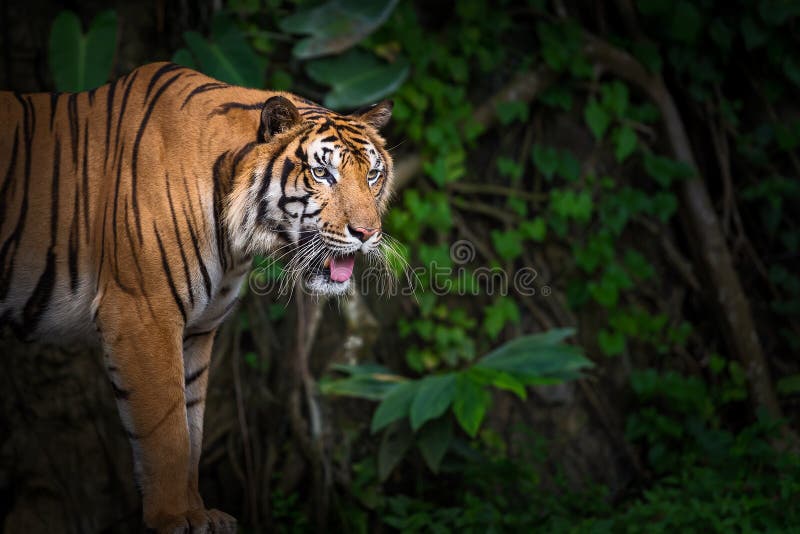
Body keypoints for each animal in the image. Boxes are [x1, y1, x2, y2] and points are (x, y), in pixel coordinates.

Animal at [0, 61, 395, 532]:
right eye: (322, 174)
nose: (367, 233)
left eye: (372, 175)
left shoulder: (197, 330)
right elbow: (165, 432)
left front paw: (198, 513)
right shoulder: (142, 314)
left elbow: (191, 426)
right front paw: (173, 517)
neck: (236, 239)